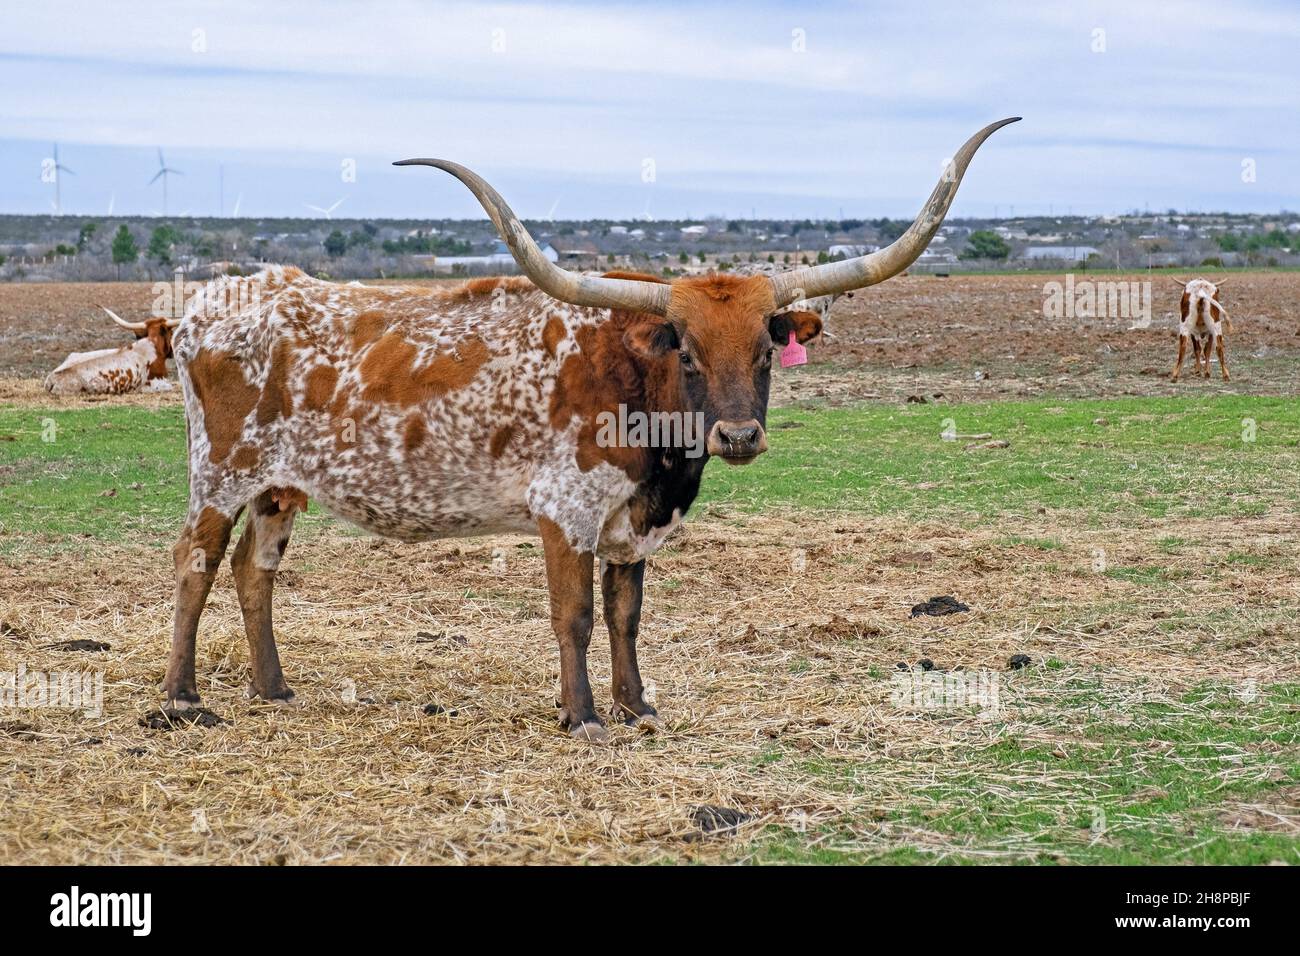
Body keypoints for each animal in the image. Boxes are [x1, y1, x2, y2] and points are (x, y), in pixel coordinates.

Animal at [163, 118, 1018, 742]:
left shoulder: (631, 521)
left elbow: (625, 616)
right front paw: (582, 716)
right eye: (689, 352)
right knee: (196, 565)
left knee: (253, 572)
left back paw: (273, 688)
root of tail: (207, 308)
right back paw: (182, 697)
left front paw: (637, 705)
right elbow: (573, 617)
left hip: (278, 486)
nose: (739, 437)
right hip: (221, 474)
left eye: (767, 349)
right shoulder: (563, 512)